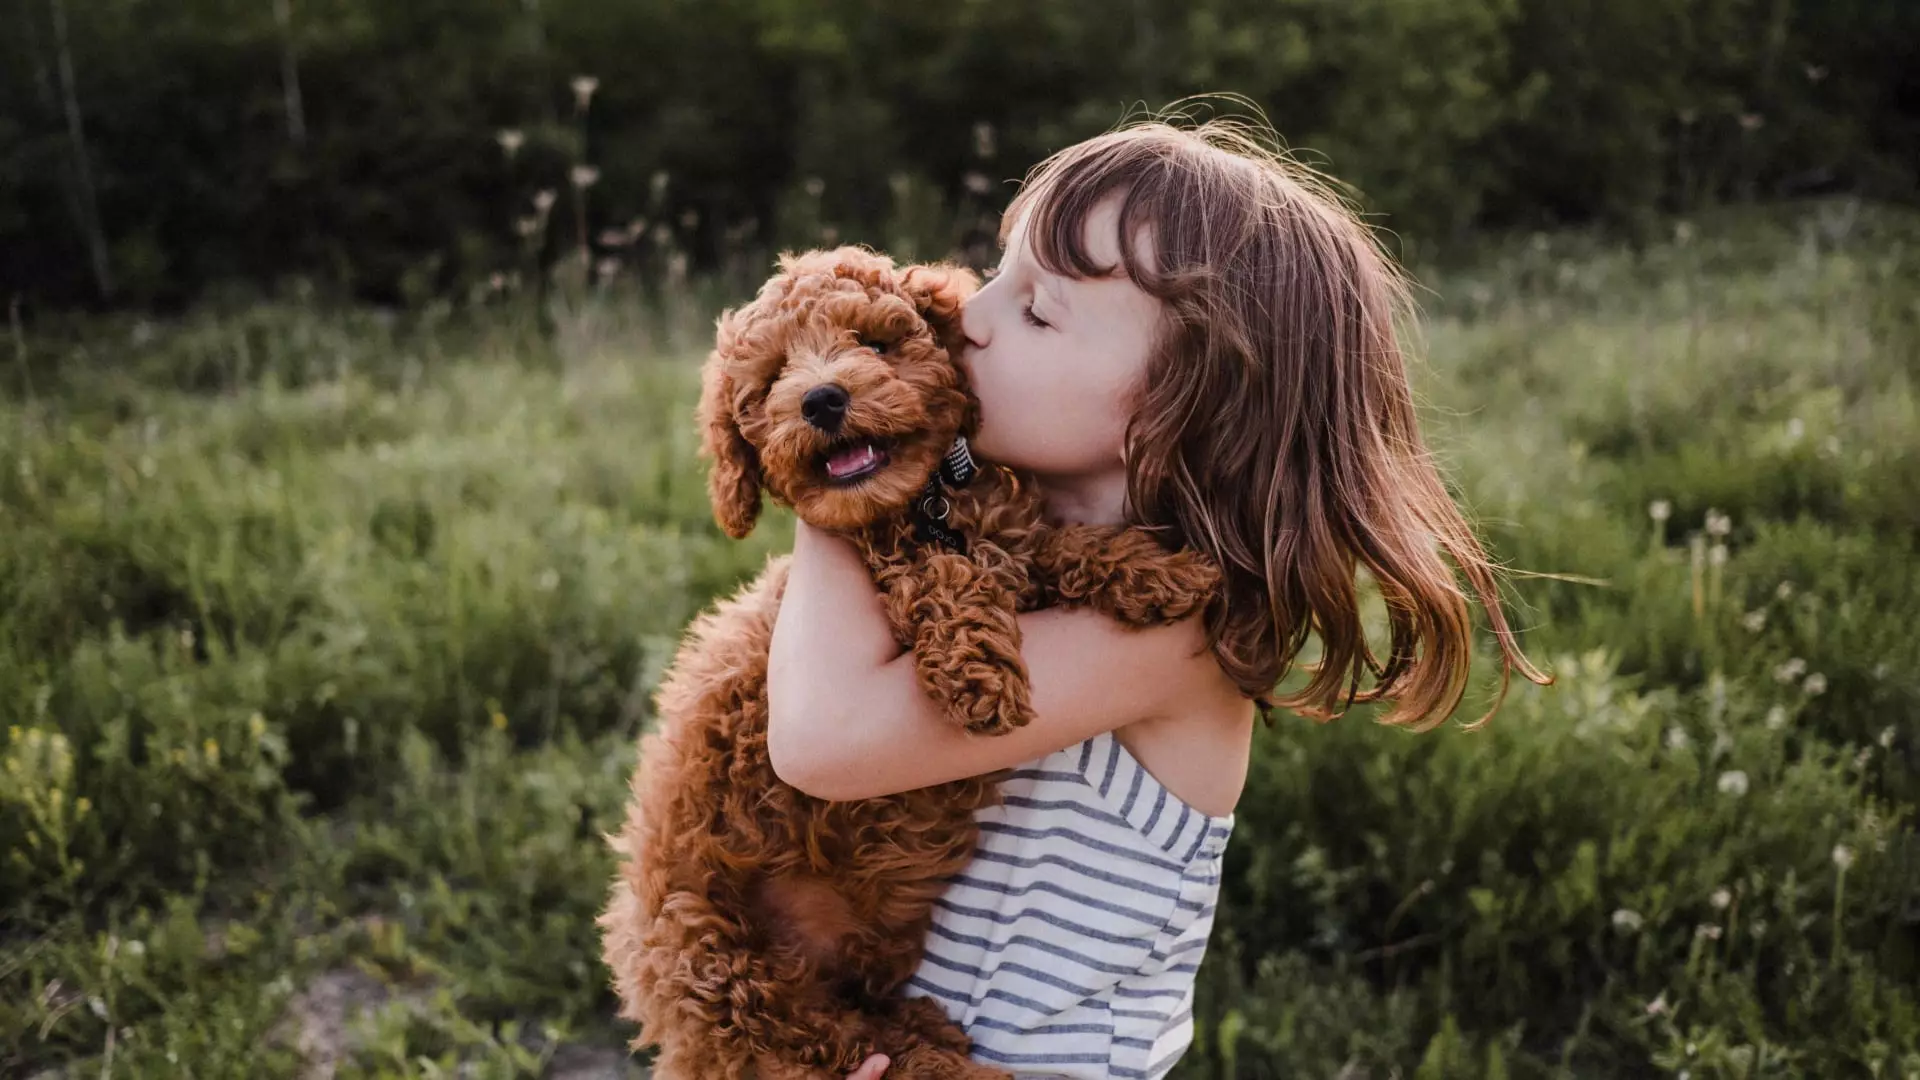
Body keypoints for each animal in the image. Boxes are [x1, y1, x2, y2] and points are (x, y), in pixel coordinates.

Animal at [595, 245, 1213, 1076]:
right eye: (773, 378)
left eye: (874, 343)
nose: (823, 399)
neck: (920, 511)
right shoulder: (895, 576)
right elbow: (940, 579)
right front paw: (981, 673)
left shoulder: (1009, 541)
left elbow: (1058, 546)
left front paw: (1160, 571)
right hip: (719, 965)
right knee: (827, 1039)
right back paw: (951, 1060)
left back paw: (932, 1028)